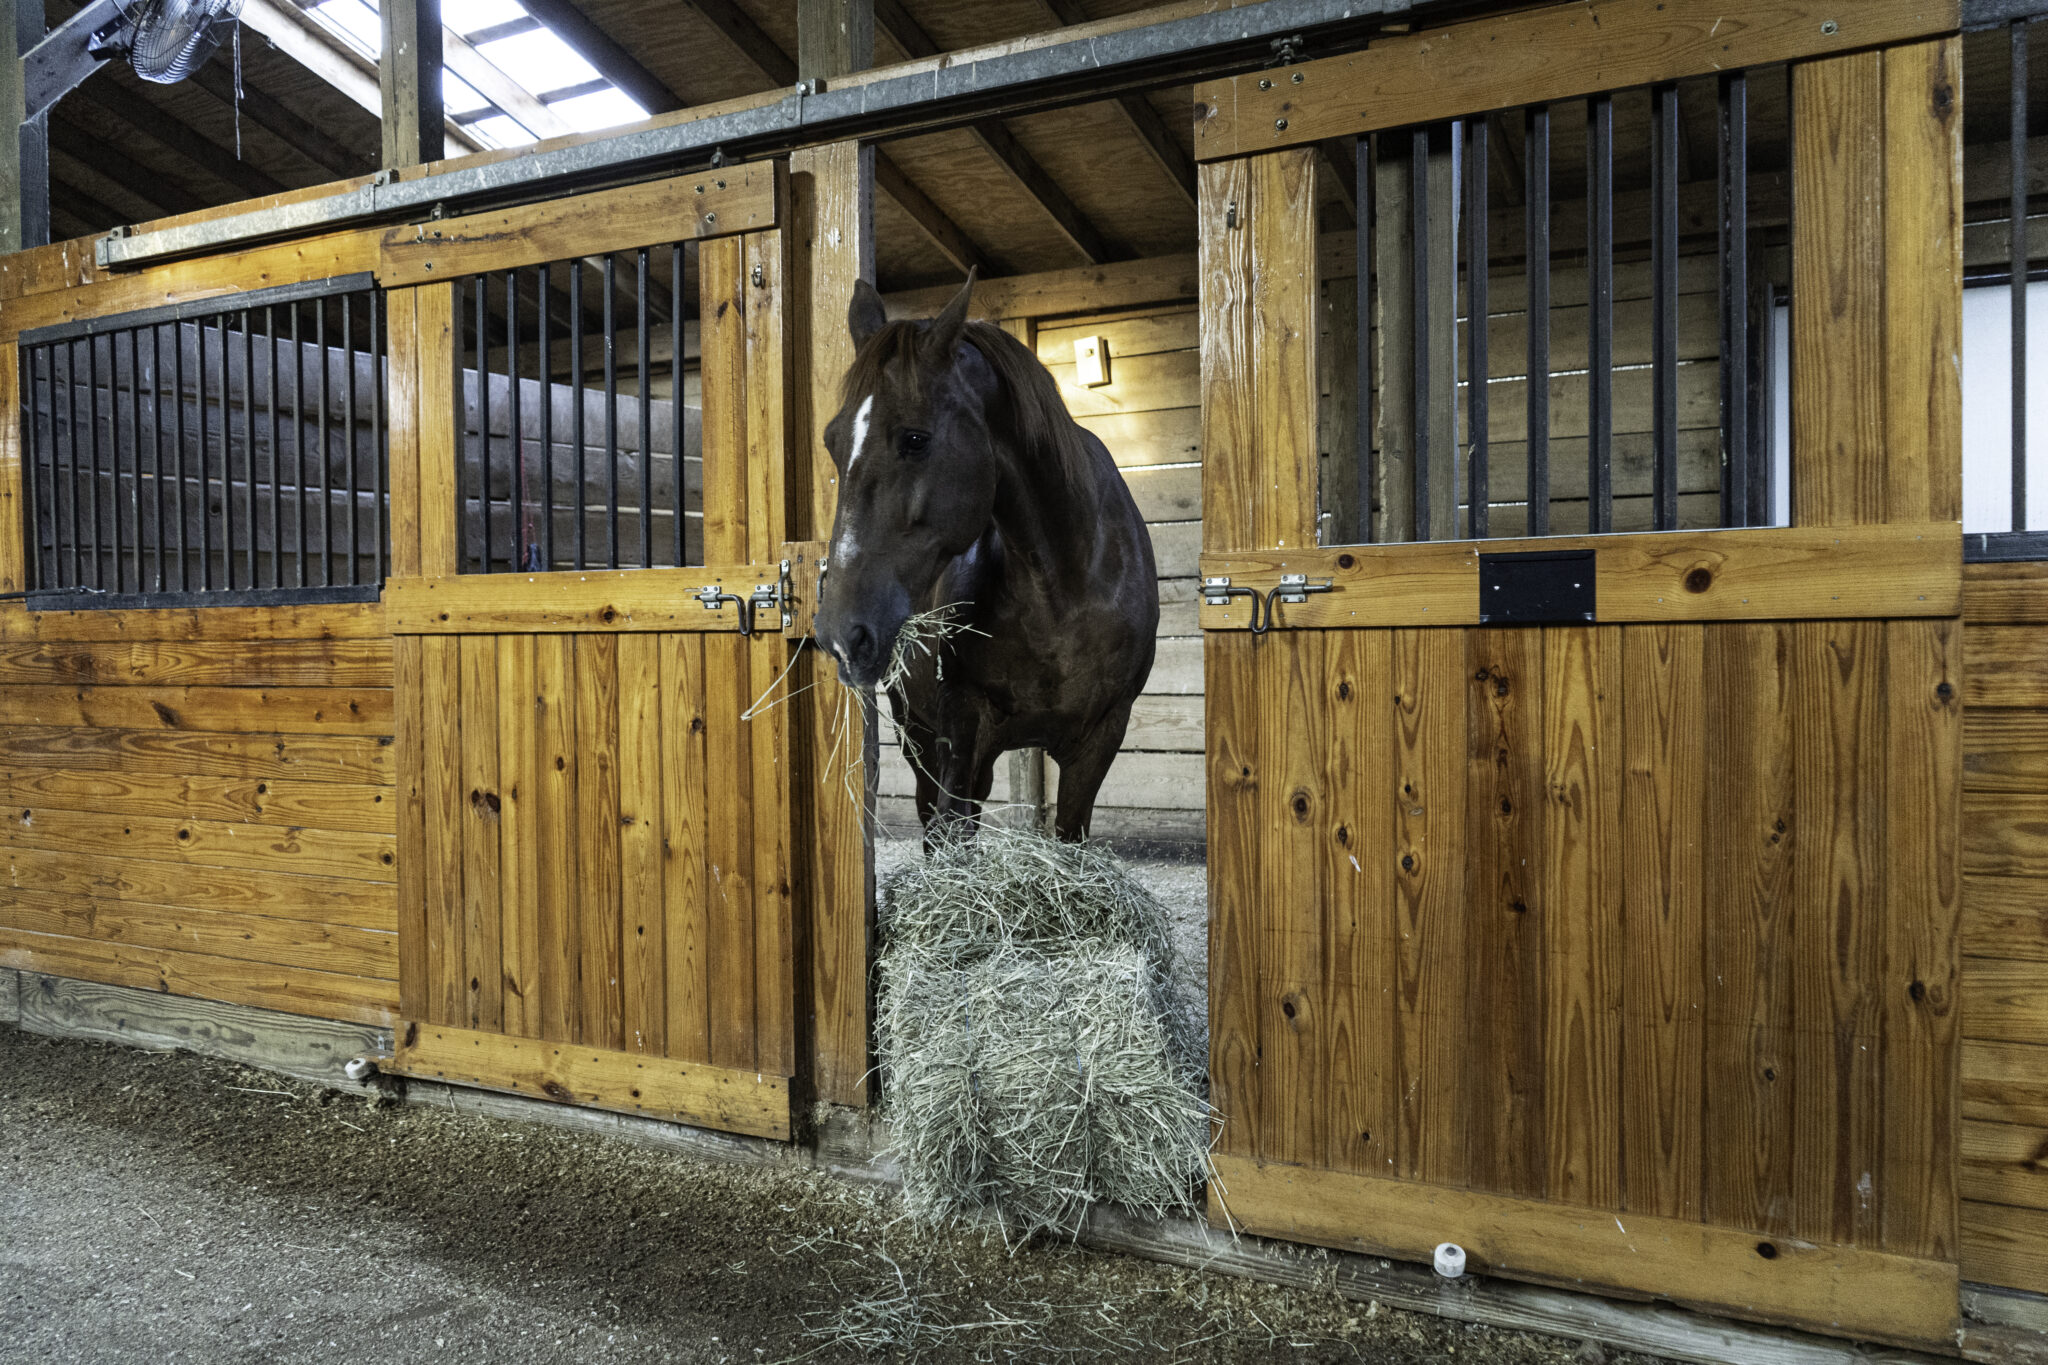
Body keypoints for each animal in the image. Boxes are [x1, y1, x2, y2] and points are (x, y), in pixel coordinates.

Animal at [812, 271, 1159, 843]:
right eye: (832, 442)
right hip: (919, 736)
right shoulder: (961, 727)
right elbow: (953, 828)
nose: (840, 634)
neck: (1062, 587)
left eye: (915, 438)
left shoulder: (1102, 735)